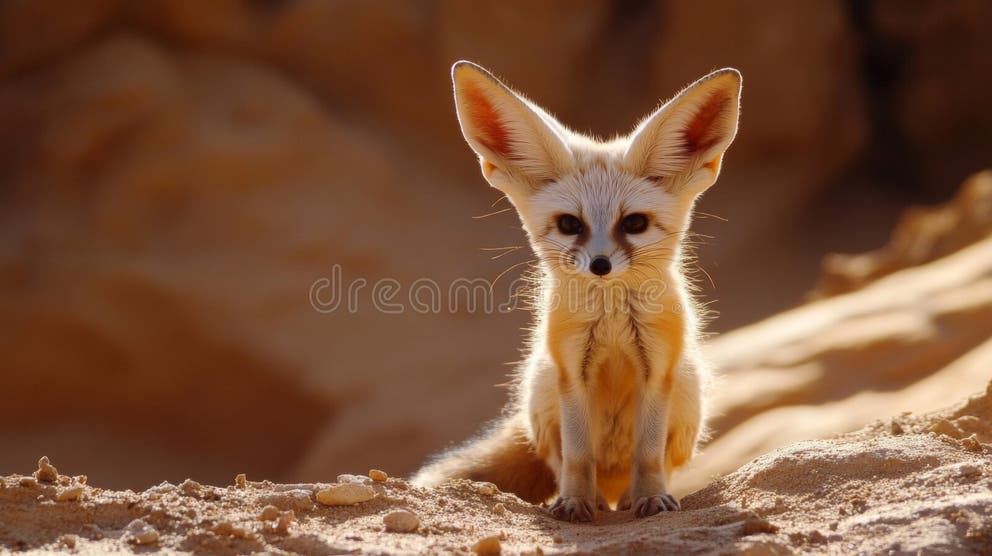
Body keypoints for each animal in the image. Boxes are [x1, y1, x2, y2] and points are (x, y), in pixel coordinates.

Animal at [413, 61, 741, 522]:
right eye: (570, 224)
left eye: (634, 223)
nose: (600, 265)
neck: (612, 323)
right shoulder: (571, 370)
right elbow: (578, 456)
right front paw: (574, 502)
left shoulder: (658, 368)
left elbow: (648, 455)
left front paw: (651, 499)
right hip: (541, 388)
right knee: (562, 461)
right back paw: (593, 501)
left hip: (687, 391)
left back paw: (629, 499)